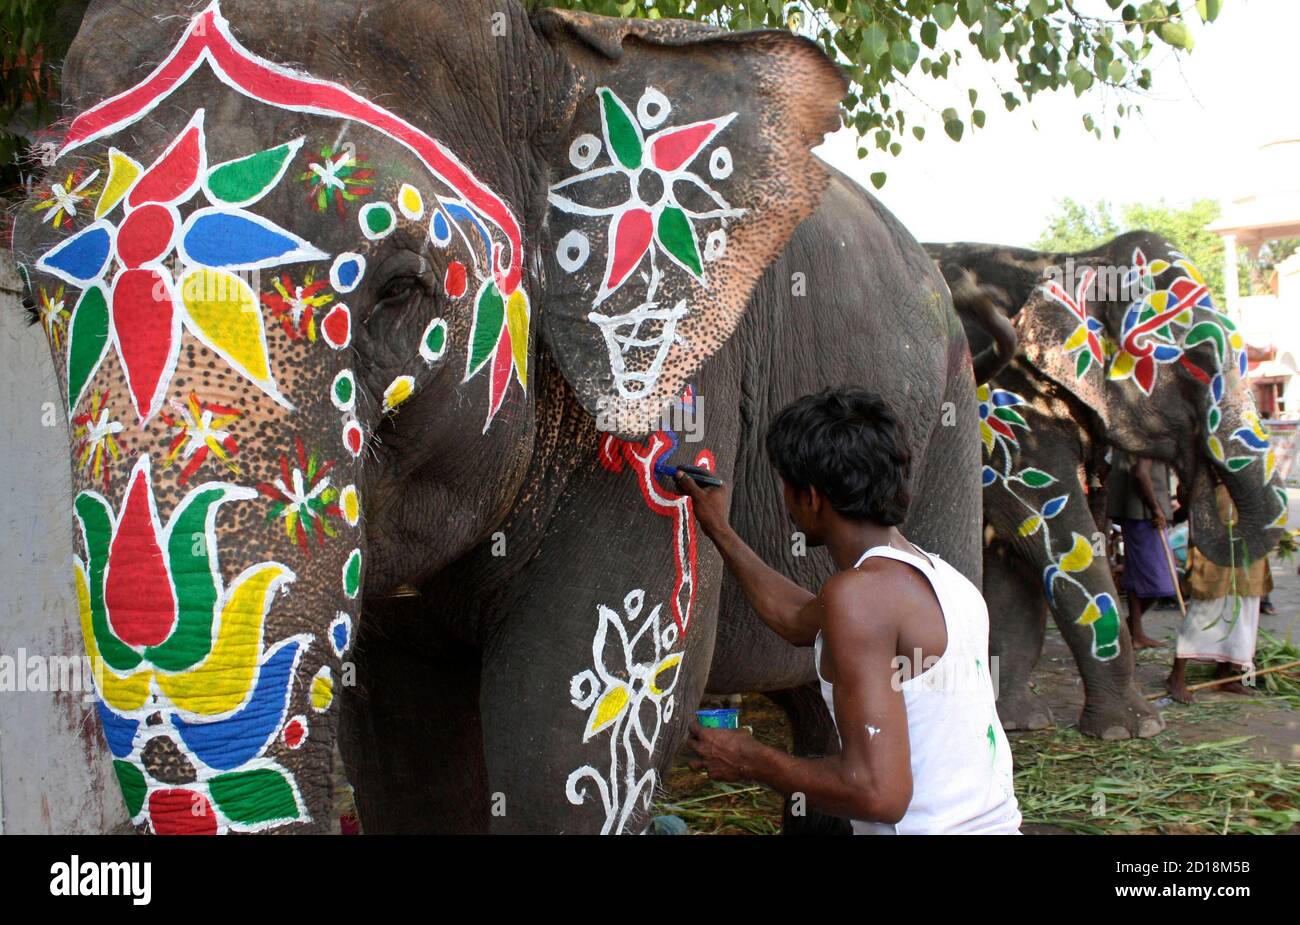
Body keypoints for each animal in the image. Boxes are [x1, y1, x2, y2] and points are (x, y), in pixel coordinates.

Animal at [12, 0, 987, 834]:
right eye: (28, 291)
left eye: (401, 288)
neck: (548, 49)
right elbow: (407, 760)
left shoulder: (667, 386)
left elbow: (563, 746)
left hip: (947, 428)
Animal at [927, 231, 1288, 739]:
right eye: (1197, 361)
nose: (964, 290)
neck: (1064, 262)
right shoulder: (1001, 411)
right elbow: (1055, 532)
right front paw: (1135, 729)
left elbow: (1019, 552)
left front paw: (1021, 722)